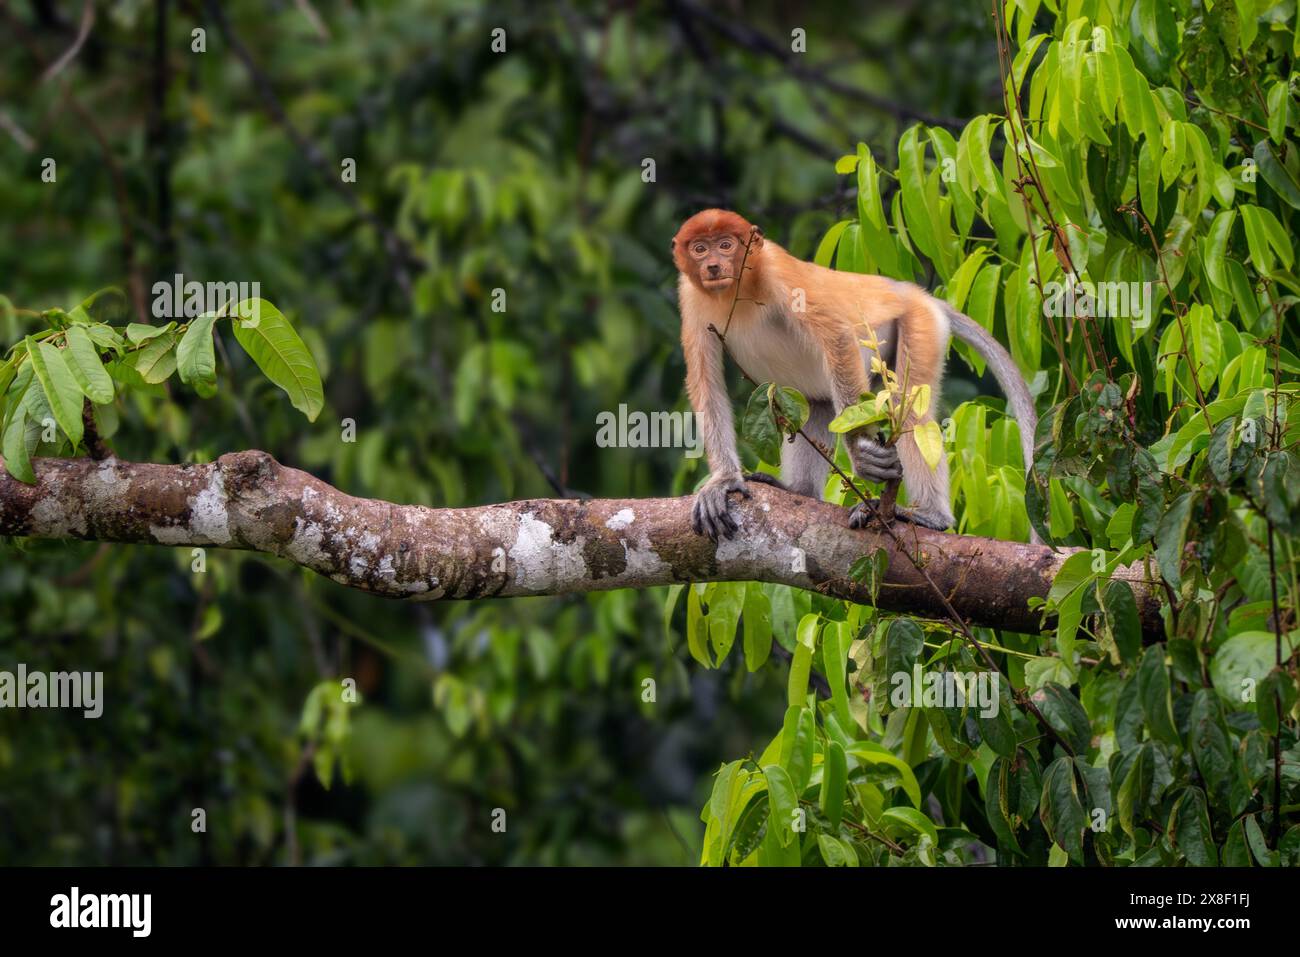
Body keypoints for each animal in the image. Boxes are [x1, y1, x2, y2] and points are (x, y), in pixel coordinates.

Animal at [671, 208, 1039, 543]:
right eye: (700, 249)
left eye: (726, 244)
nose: (713, 266)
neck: (738, 289)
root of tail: (912, 292)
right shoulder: (690, 297)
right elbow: (706, 383)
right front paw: (723, 482)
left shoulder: (778, 271)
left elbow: (836, 335)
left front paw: (863, 457)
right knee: (816, 404)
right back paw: (798, 490)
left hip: (919, 324)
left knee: (912, 414)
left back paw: (930, 516)